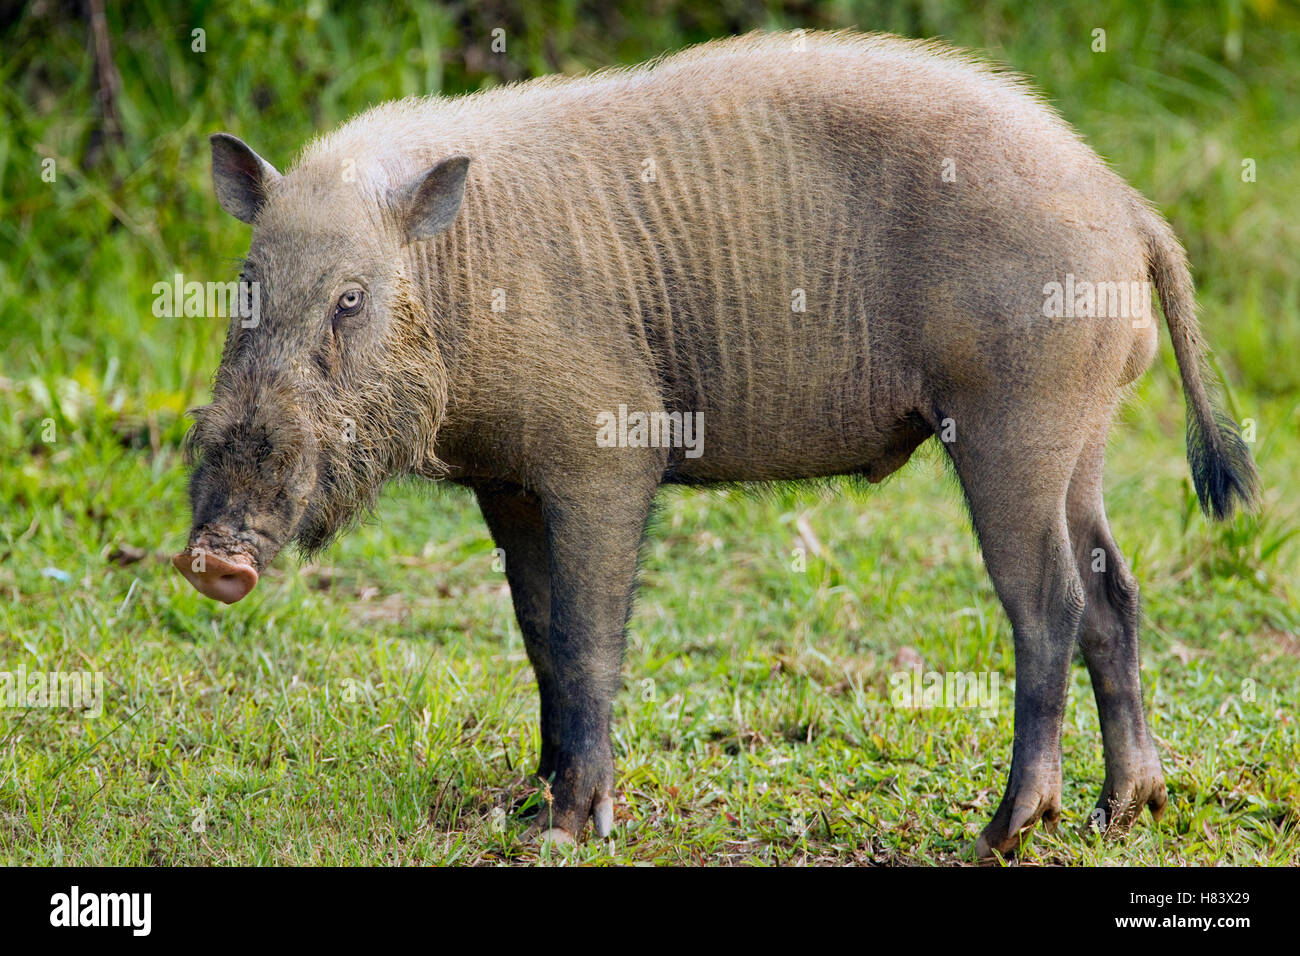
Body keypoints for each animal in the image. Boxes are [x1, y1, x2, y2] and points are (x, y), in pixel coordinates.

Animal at [174, 30, 1258, 858]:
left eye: (350, 299)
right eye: (246, 285)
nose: (213, 559)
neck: (457, 280)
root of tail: (1127, 205)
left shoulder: (606, 450)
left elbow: (588, 636)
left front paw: (568, 829)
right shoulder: (508, 483)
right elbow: (537, 635)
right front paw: (526, 807)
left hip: (1013, 423)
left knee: (1049, 606)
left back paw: (1003, 831)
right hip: (1083, 435)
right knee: (1115, 590)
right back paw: (1124, 811)